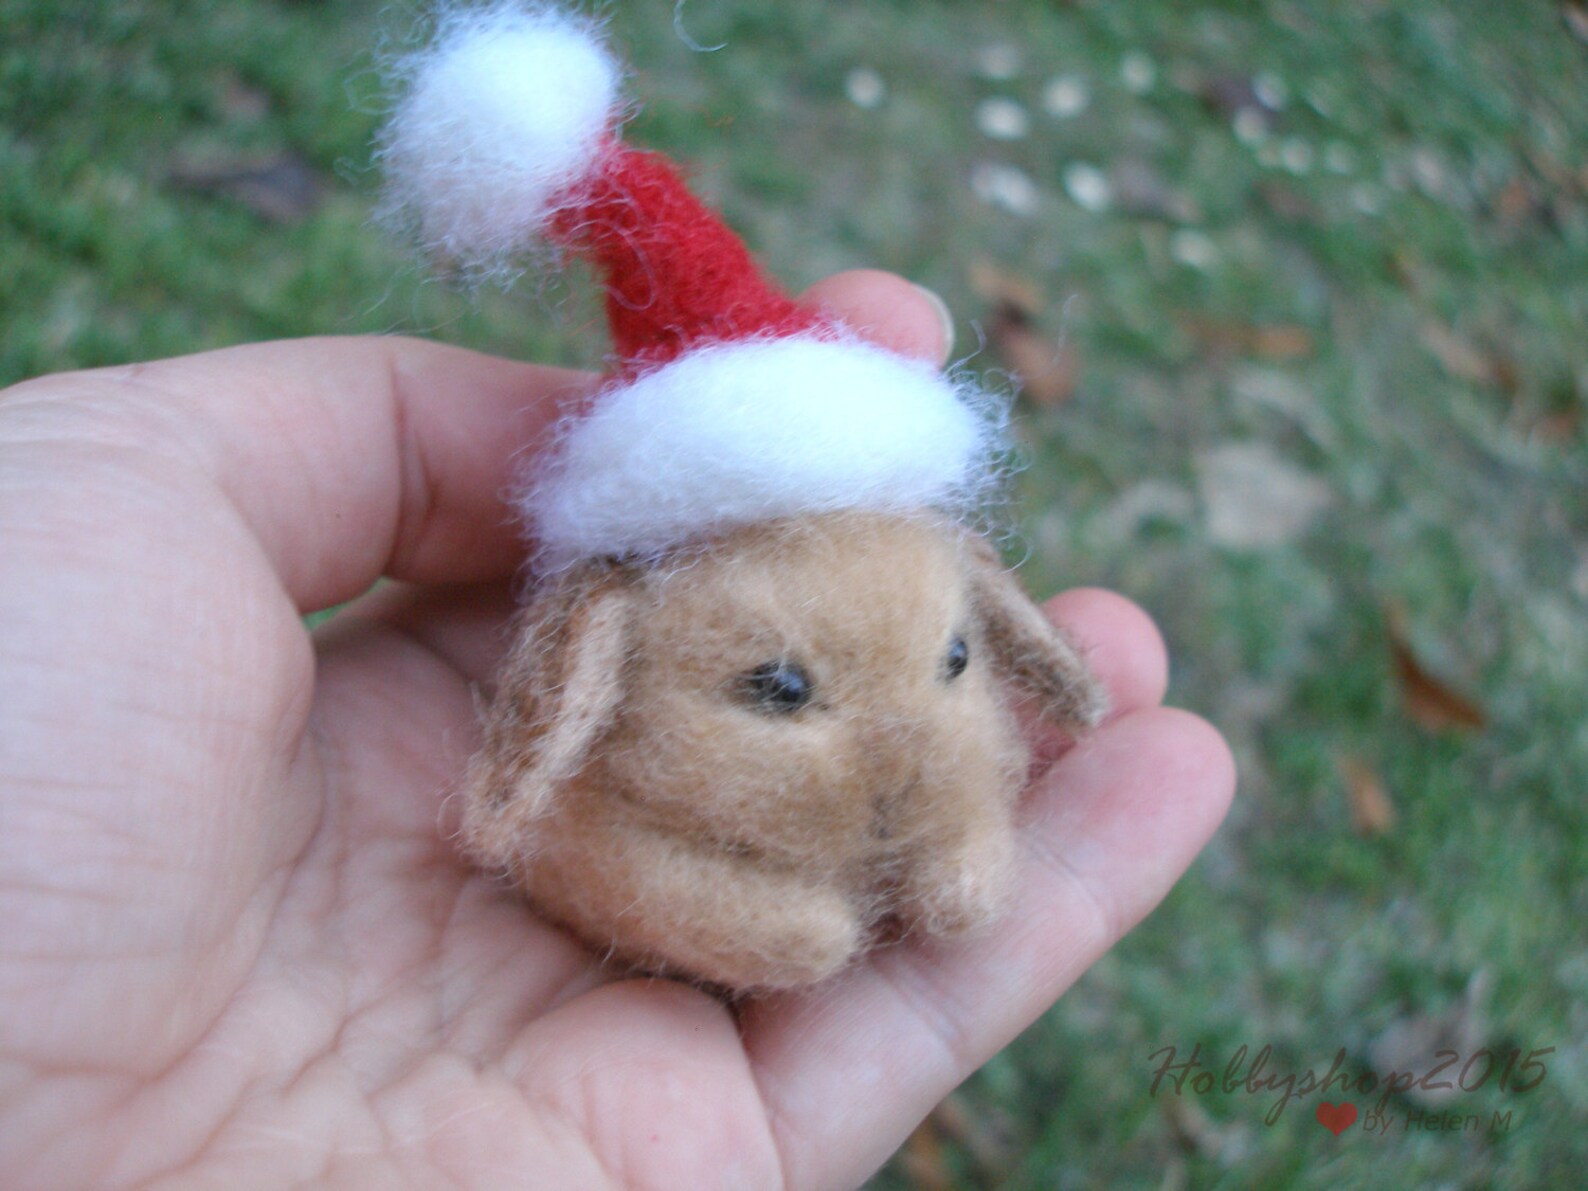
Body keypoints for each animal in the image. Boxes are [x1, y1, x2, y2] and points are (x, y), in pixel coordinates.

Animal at [459, 508, 1106, 991]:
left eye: (959, 657)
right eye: (778, 687)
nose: (897, 803)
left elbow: (970, 872)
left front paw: (954, 893)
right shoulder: (619, 868)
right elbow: (806, 934)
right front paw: (839, 925)